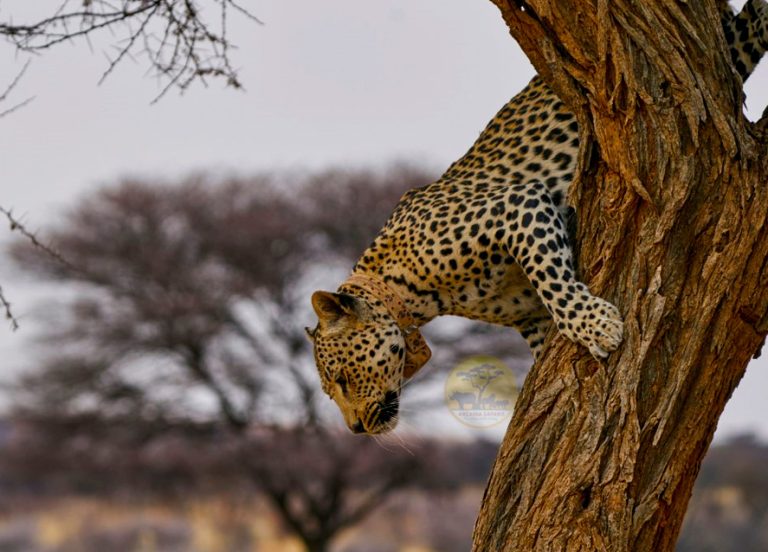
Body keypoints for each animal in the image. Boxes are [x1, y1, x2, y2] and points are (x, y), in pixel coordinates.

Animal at [306, 0, 768, 435]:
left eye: (341, 378)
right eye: (332, 389)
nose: (356, 428)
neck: (409, 294)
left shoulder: (517, 203)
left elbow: (550, 279)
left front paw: (596, 325)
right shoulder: (528, 317)